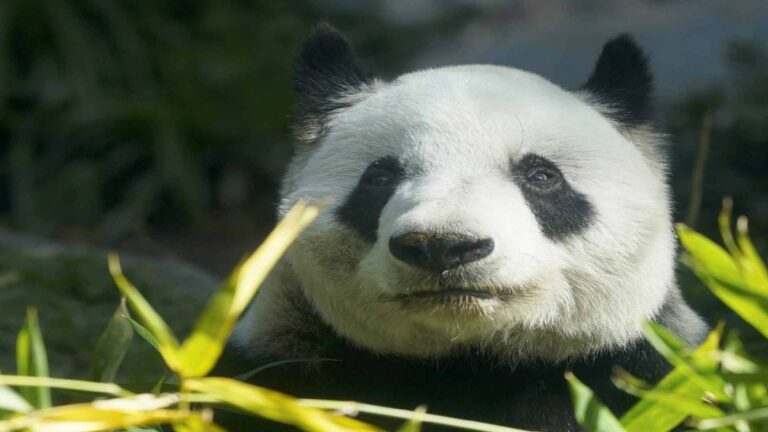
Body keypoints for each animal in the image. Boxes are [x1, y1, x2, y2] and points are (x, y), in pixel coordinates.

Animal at [229, 24, 708, 432]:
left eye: (541, 176)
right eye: (379, 178)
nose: (442, 246)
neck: (469, 363)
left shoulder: (647, 374)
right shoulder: (282, 373)